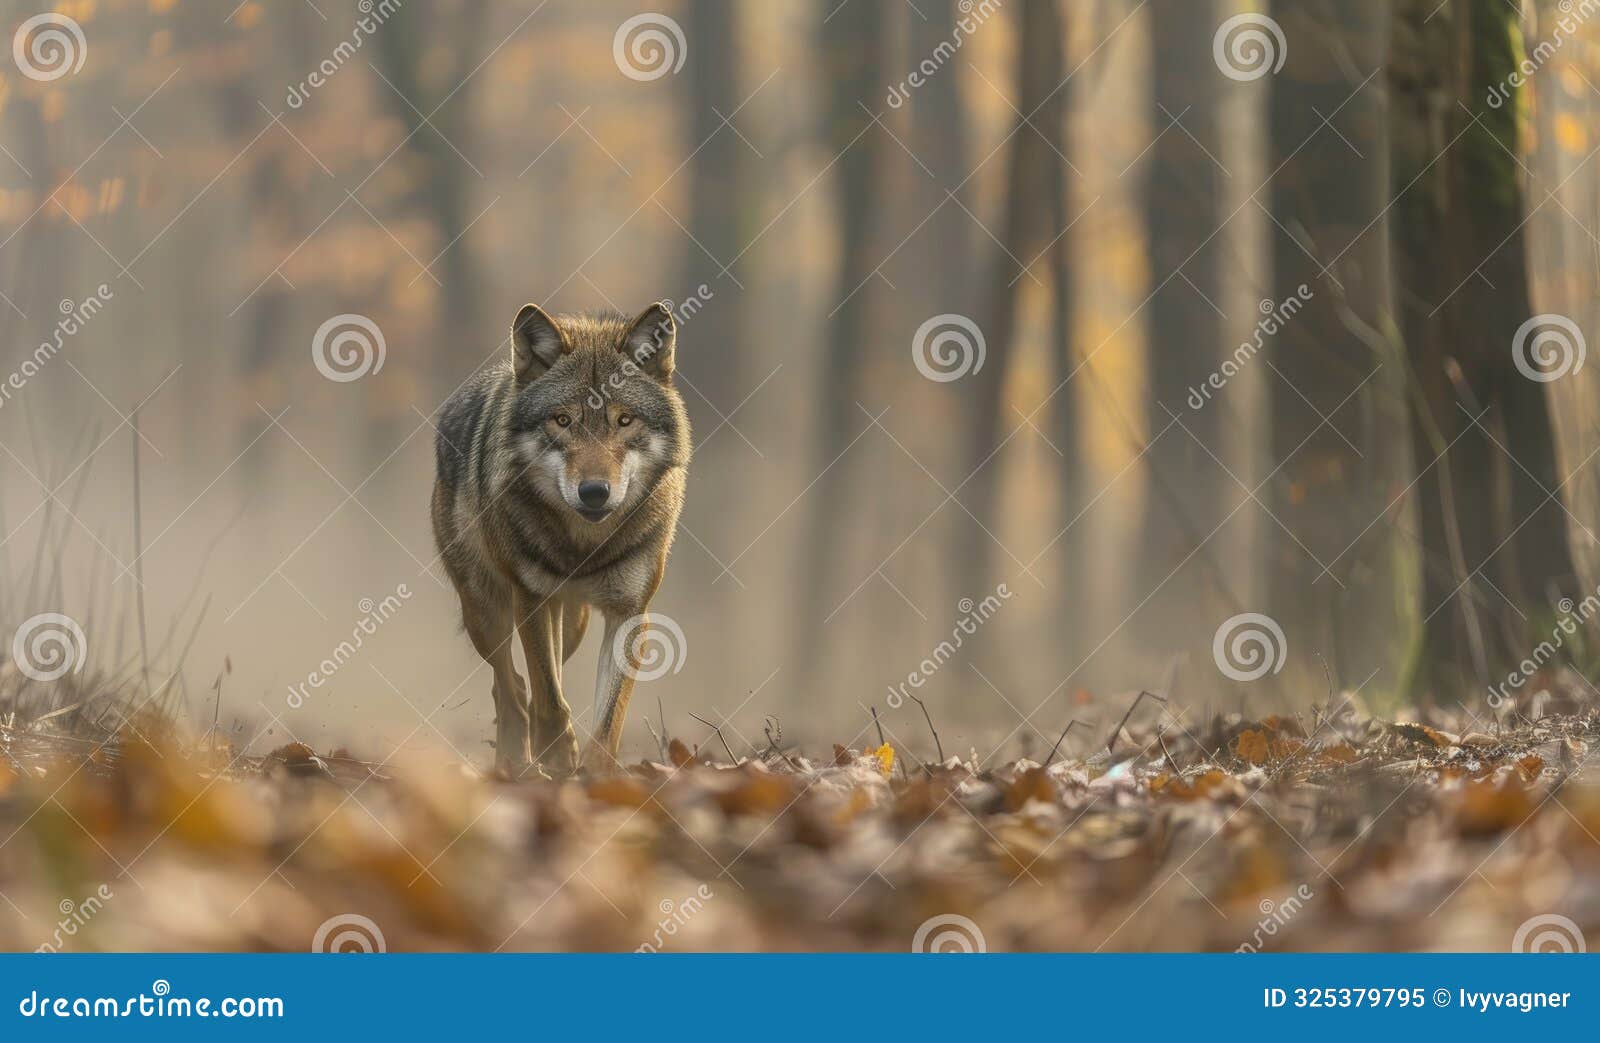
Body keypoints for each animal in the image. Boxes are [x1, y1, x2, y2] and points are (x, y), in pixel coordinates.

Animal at [431, 301, 689, 776]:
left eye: (624, 420)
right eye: (562, 420)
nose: (594, 492)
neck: (584, 547)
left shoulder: (630, 613)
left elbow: (607, 716)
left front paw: (594, 771)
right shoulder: (531, 599)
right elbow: (549, 697)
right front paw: (557, 755)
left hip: (573, 623)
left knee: (535, 680)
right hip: (487, 612)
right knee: (511, 685)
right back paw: (515, 757)